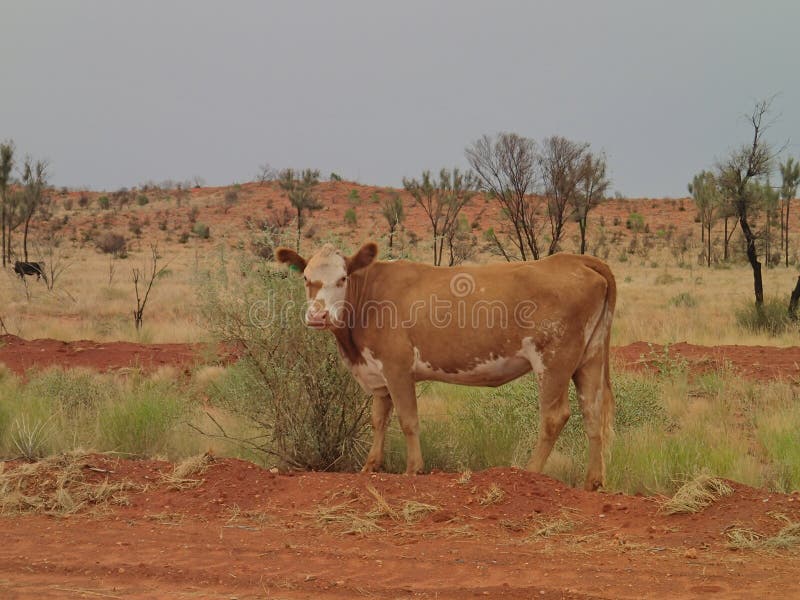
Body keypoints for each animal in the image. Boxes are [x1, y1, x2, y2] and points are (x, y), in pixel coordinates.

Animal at [276, 242, 616, 491]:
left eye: (342, 279)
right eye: (306, 278)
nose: (317, 316)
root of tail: (576, 260)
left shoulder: (397, 367)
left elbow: (408, 420)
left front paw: (413, 469)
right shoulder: (378, 374)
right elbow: (378, 420)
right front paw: (370, 467)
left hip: (554, 360)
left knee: (554, 416)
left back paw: (528, 473)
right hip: (589, 359)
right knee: (593, 412)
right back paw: (592, 482)